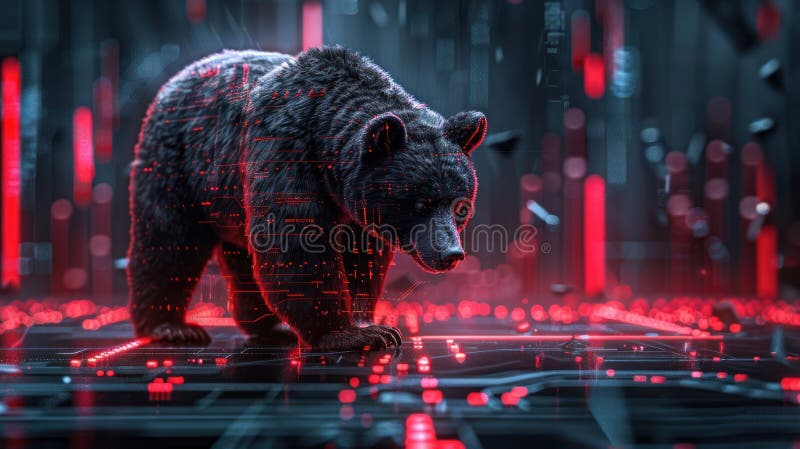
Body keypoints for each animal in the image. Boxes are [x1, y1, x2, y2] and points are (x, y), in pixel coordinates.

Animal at [128, 47, 487, 350]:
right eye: (420, 203)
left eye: (460, 205)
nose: (450, 253)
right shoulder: (284, 149)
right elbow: (296, 238)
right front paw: (350, 333)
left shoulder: (356, 210)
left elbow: (362, 259)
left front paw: (365, 321)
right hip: (179, 163)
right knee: (169, 239)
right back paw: (171, 326)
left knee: (242, 256)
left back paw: (269, 325)